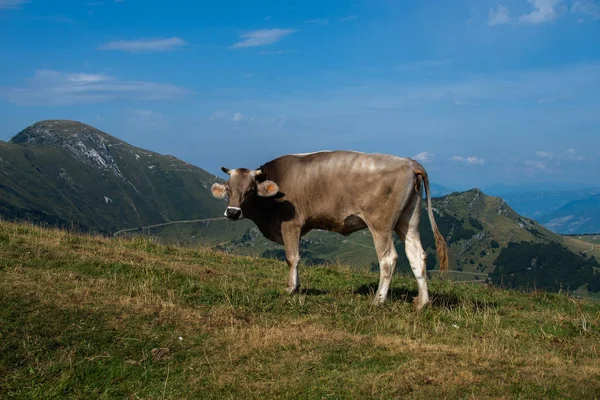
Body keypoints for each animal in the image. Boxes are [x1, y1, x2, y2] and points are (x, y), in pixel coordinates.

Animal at [211, 150, 446, 310]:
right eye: (228, 189)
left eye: (250, 190)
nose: (232, 212)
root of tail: (409, 162)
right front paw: (296, 286)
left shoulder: (291, 224)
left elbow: (292, 257)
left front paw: (291, 288)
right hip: (409, 221)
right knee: (417, 256)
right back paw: (422, 303)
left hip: (381, 224)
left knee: (388, 259)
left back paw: (378, 300)